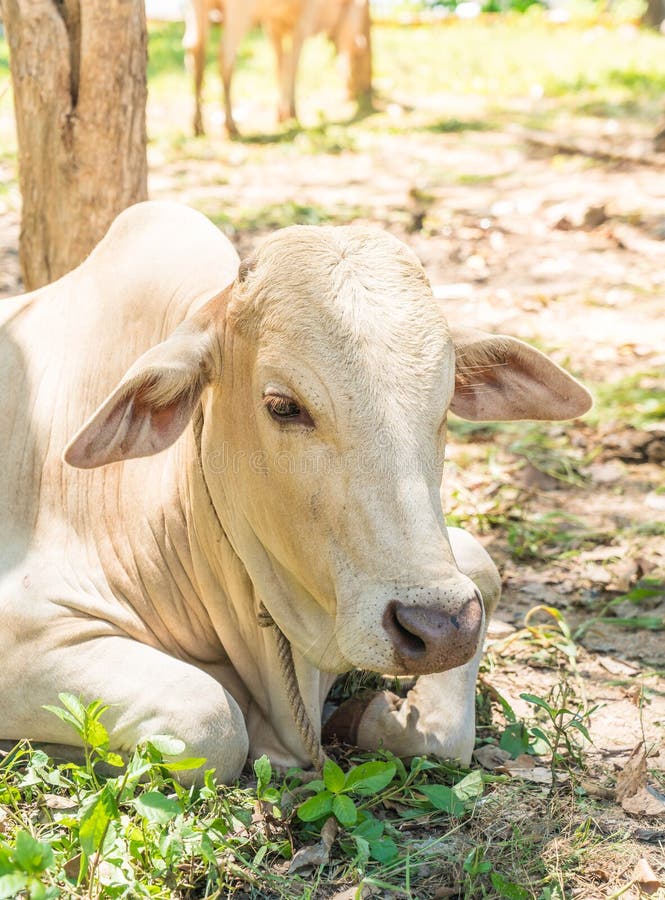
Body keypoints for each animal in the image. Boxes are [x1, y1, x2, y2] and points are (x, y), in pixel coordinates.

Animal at [184, 0, 373, 138]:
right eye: (360, 52)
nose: (360, 91)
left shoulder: (272, 23)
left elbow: (280, 66)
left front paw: (281, 114)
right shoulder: (305, 18)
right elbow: (293, 65)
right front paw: (292, 113)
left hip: (197, 8)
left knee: (194, 50)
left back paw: (197, 125)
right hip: (239, 12)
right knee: (225, 54)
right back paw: (231, 125)